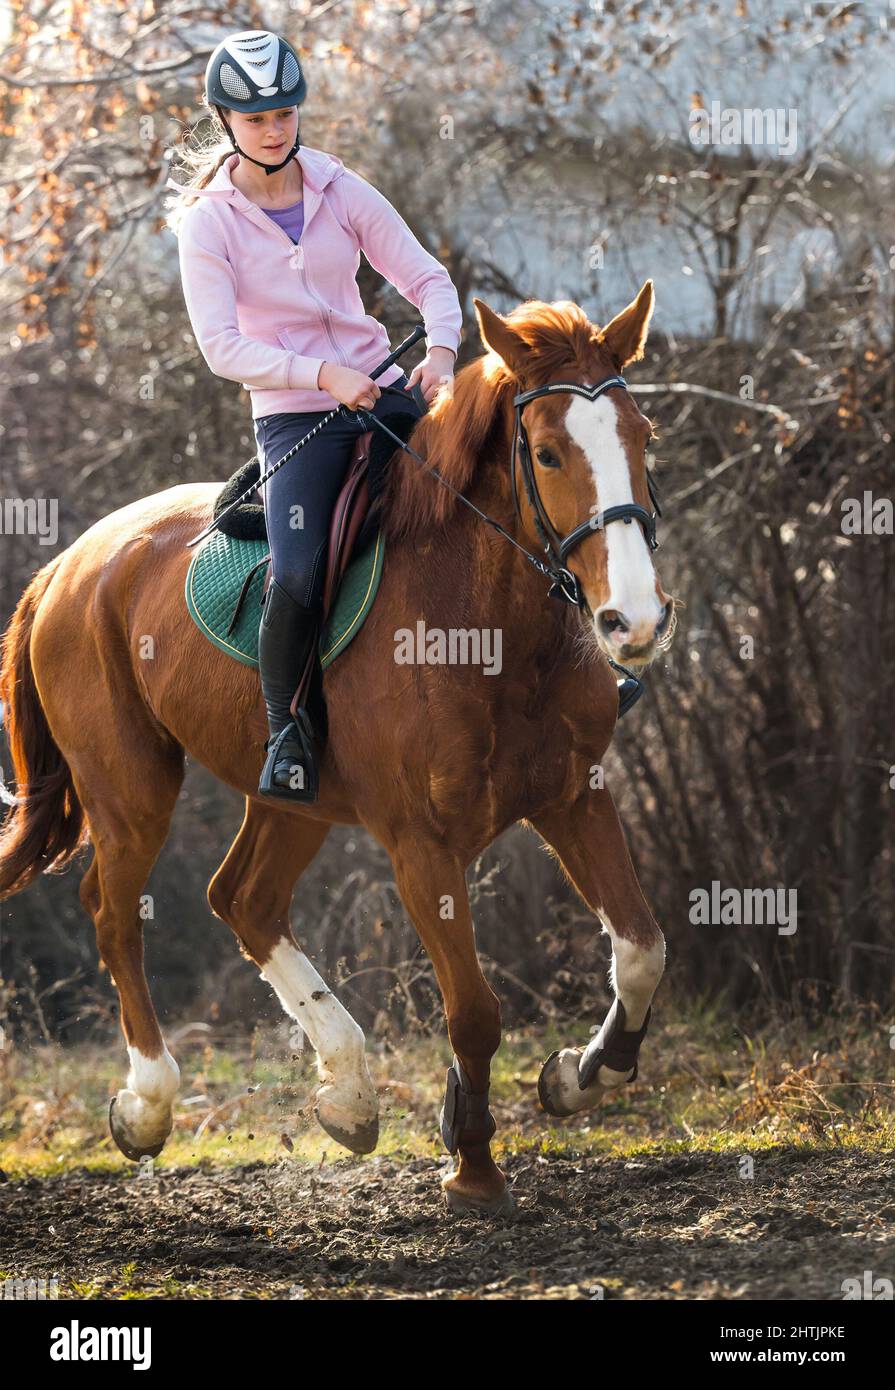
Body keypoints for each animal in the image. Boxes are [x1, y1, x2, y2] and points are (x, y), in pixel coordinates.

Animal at [0, 284, 674, 1214]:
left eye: (643, 437)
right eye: (544, 453)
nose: (633, 623)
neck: (484, 626)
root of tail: (68, 564)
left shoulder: (575, 796)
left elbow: (641, 951)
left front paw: (578, 1075)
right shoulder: (421, 846)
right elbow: (473, 1011)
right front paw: (472, 1165)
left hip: (291, 796)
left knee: (243, 899)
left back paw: (349, 1092)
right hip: (131, 790)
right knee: (113, 910)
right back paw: (149, 1104)